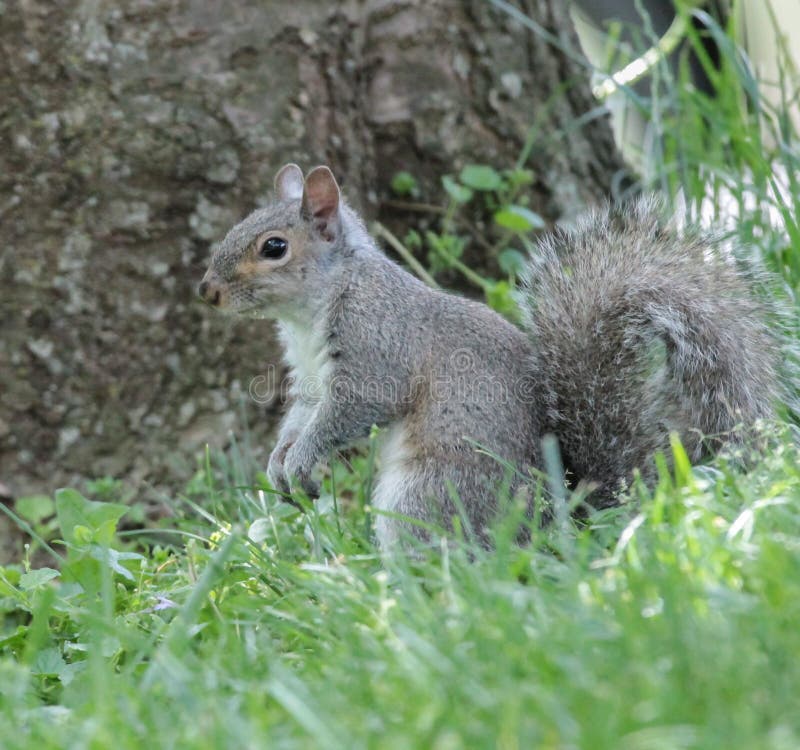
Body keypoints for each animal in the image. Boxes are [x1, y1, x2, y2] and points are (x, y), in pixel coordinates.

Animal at [198, 163, 778, 549]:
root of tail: (559, 517)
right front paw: (280, 461)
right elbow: (301, 415)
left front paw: (301, 459)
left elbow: (350, 412)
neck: (312, 311)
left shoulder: (376, 349)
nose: (207, 291)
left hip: (431, 492)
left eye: (274, 247)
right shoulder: (309, 376)